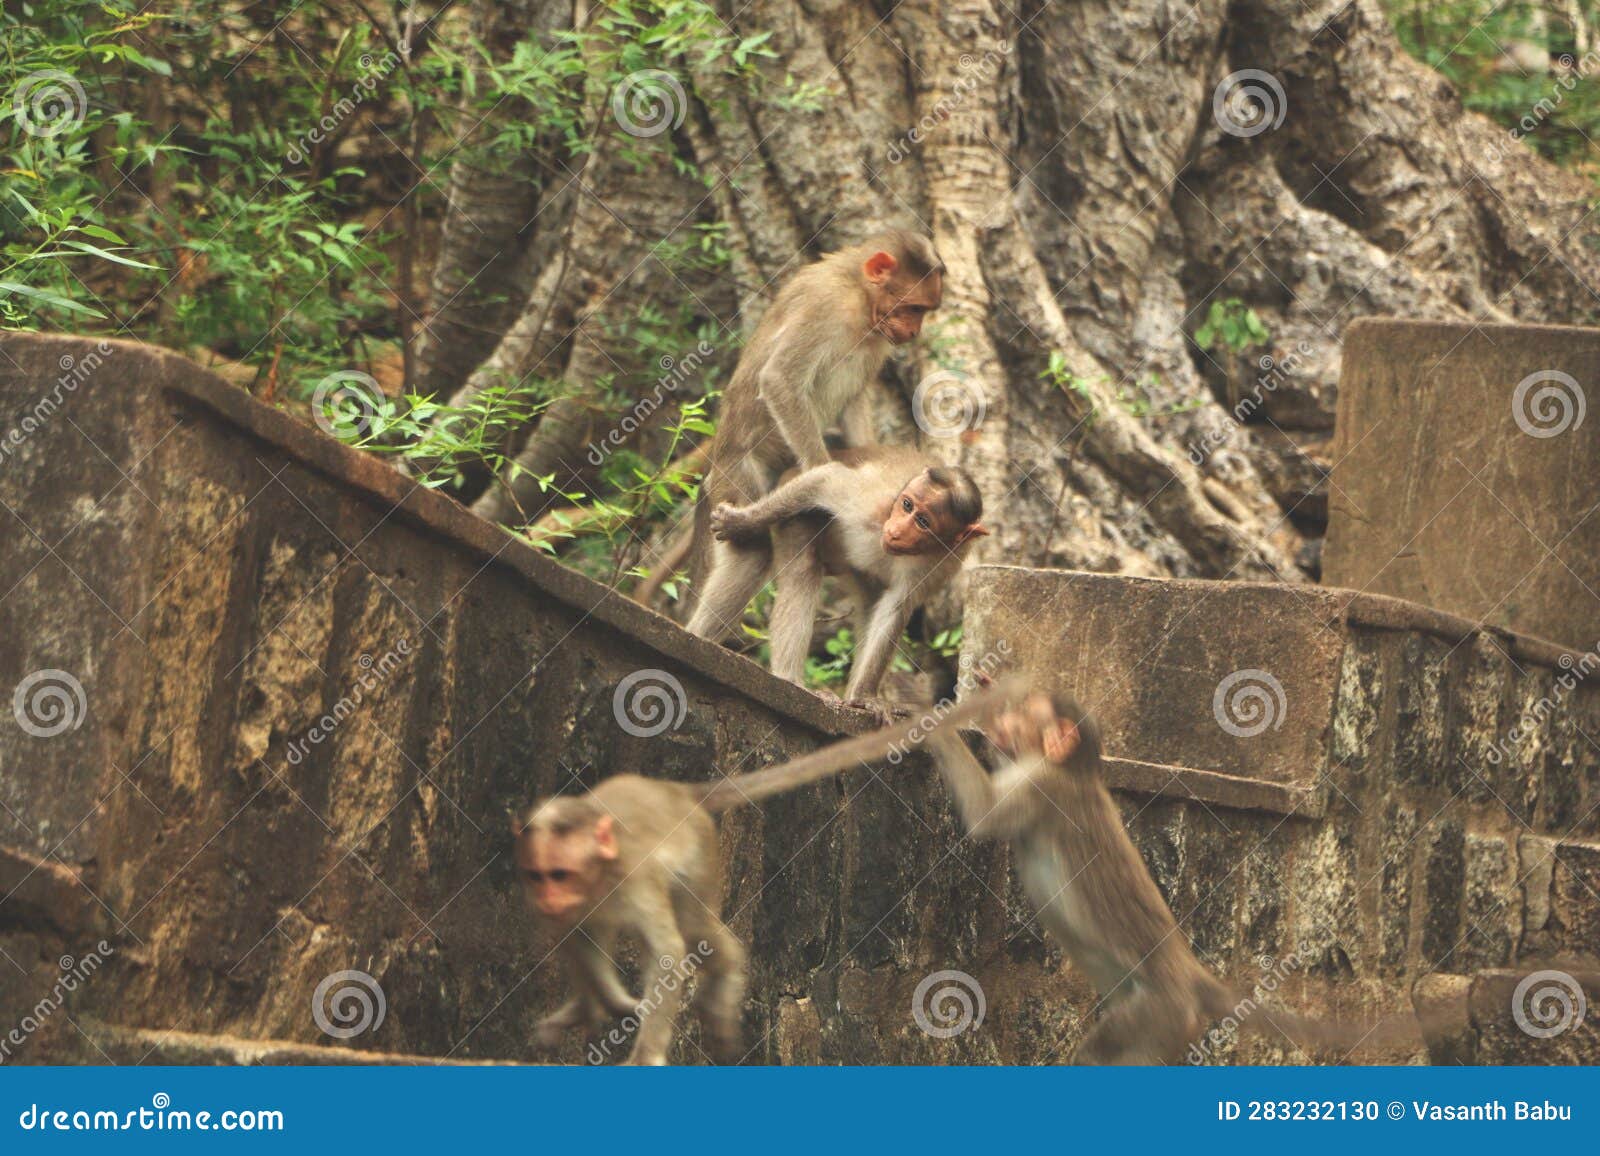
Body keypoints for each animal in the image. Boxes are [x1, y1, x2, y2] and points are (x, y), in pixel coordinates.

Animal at [511, 674, 1023, 1065]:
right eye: (538, 876)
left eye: (559, 874)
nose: (548, 897)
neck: (598, 874)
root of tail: (681, 793)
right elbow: (575, 941)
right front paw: (598, 1007)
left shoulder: (634, 878)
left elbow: (671, 955)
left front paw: (644, 1054)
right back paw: (585, 1009)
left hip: (700, 856)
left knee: (699, 932)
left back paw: (722, 978)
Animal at [684, 230, 944, 643]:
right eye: (914, 307)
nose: (914, 331)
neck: (858, 294)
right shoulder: (825, 304)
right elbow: (780, 379)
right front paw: (821, 474)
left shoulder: (876, 336)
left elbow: (854, 400)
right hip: (737, 470)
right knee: (752, 549)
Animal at [707, 445, 987, 704]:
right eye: (907, 505)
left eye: (923, 522)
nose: (895, 531)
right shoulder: (870, 504)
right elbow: (827, 479)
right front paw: (740, 522)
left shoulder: (944, 561)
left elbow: (898, 604)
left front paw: (865, 697)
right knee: (801, 566)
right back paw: (790, 679)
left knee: (869, 605)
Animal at [928, 689, 1413, 1065]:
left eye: (1027, 711)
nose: (1005, 715)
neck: (1076, 772)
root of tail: (1188, 972)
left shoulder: (1040, 787)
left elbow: (983, 815)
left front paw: (925, 713)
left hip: (1155, 1016)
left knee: (1096, 1057)